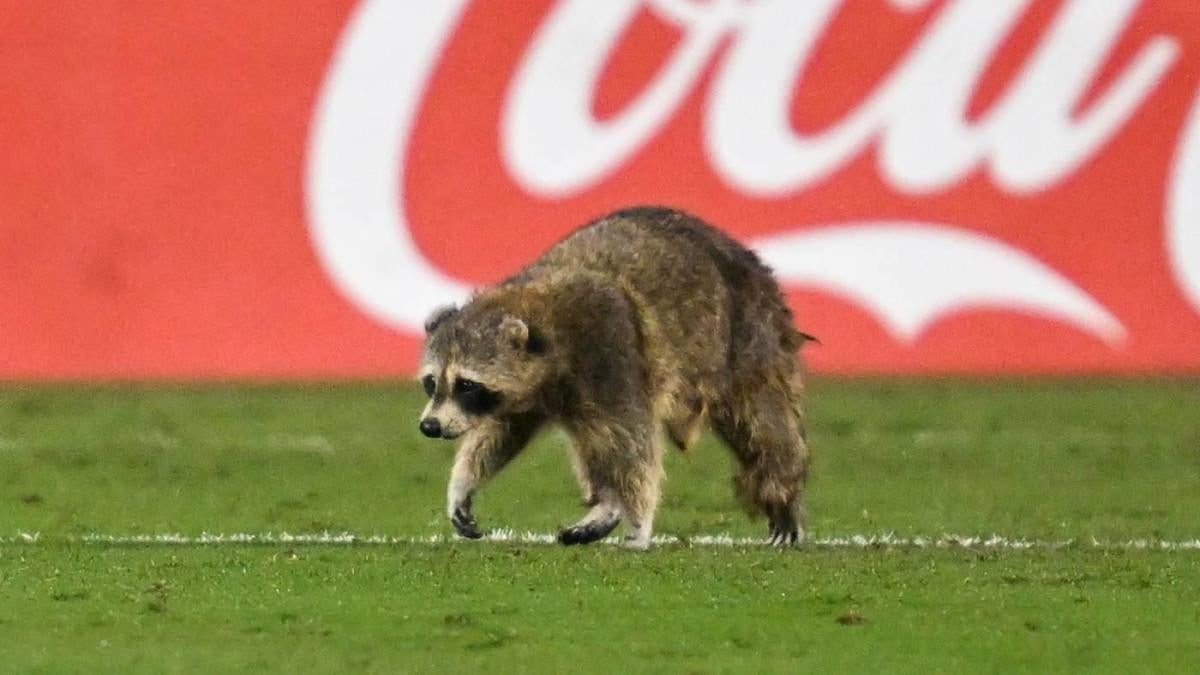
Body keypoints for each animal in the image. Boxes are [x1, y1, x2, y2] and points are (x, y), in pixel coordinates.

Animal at [418, 207, 812, 549]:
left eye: (466, 384)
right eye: (431, 382)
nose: (430, 426)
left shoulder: (610, 350)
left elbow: (632, 443)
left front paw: (637, 518)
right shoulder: (522, 393)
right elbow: (501, 433)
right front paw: (463, 483)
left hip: (749, 333)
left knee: (763, 422)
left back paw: (782, 490)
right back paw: (604, 504)